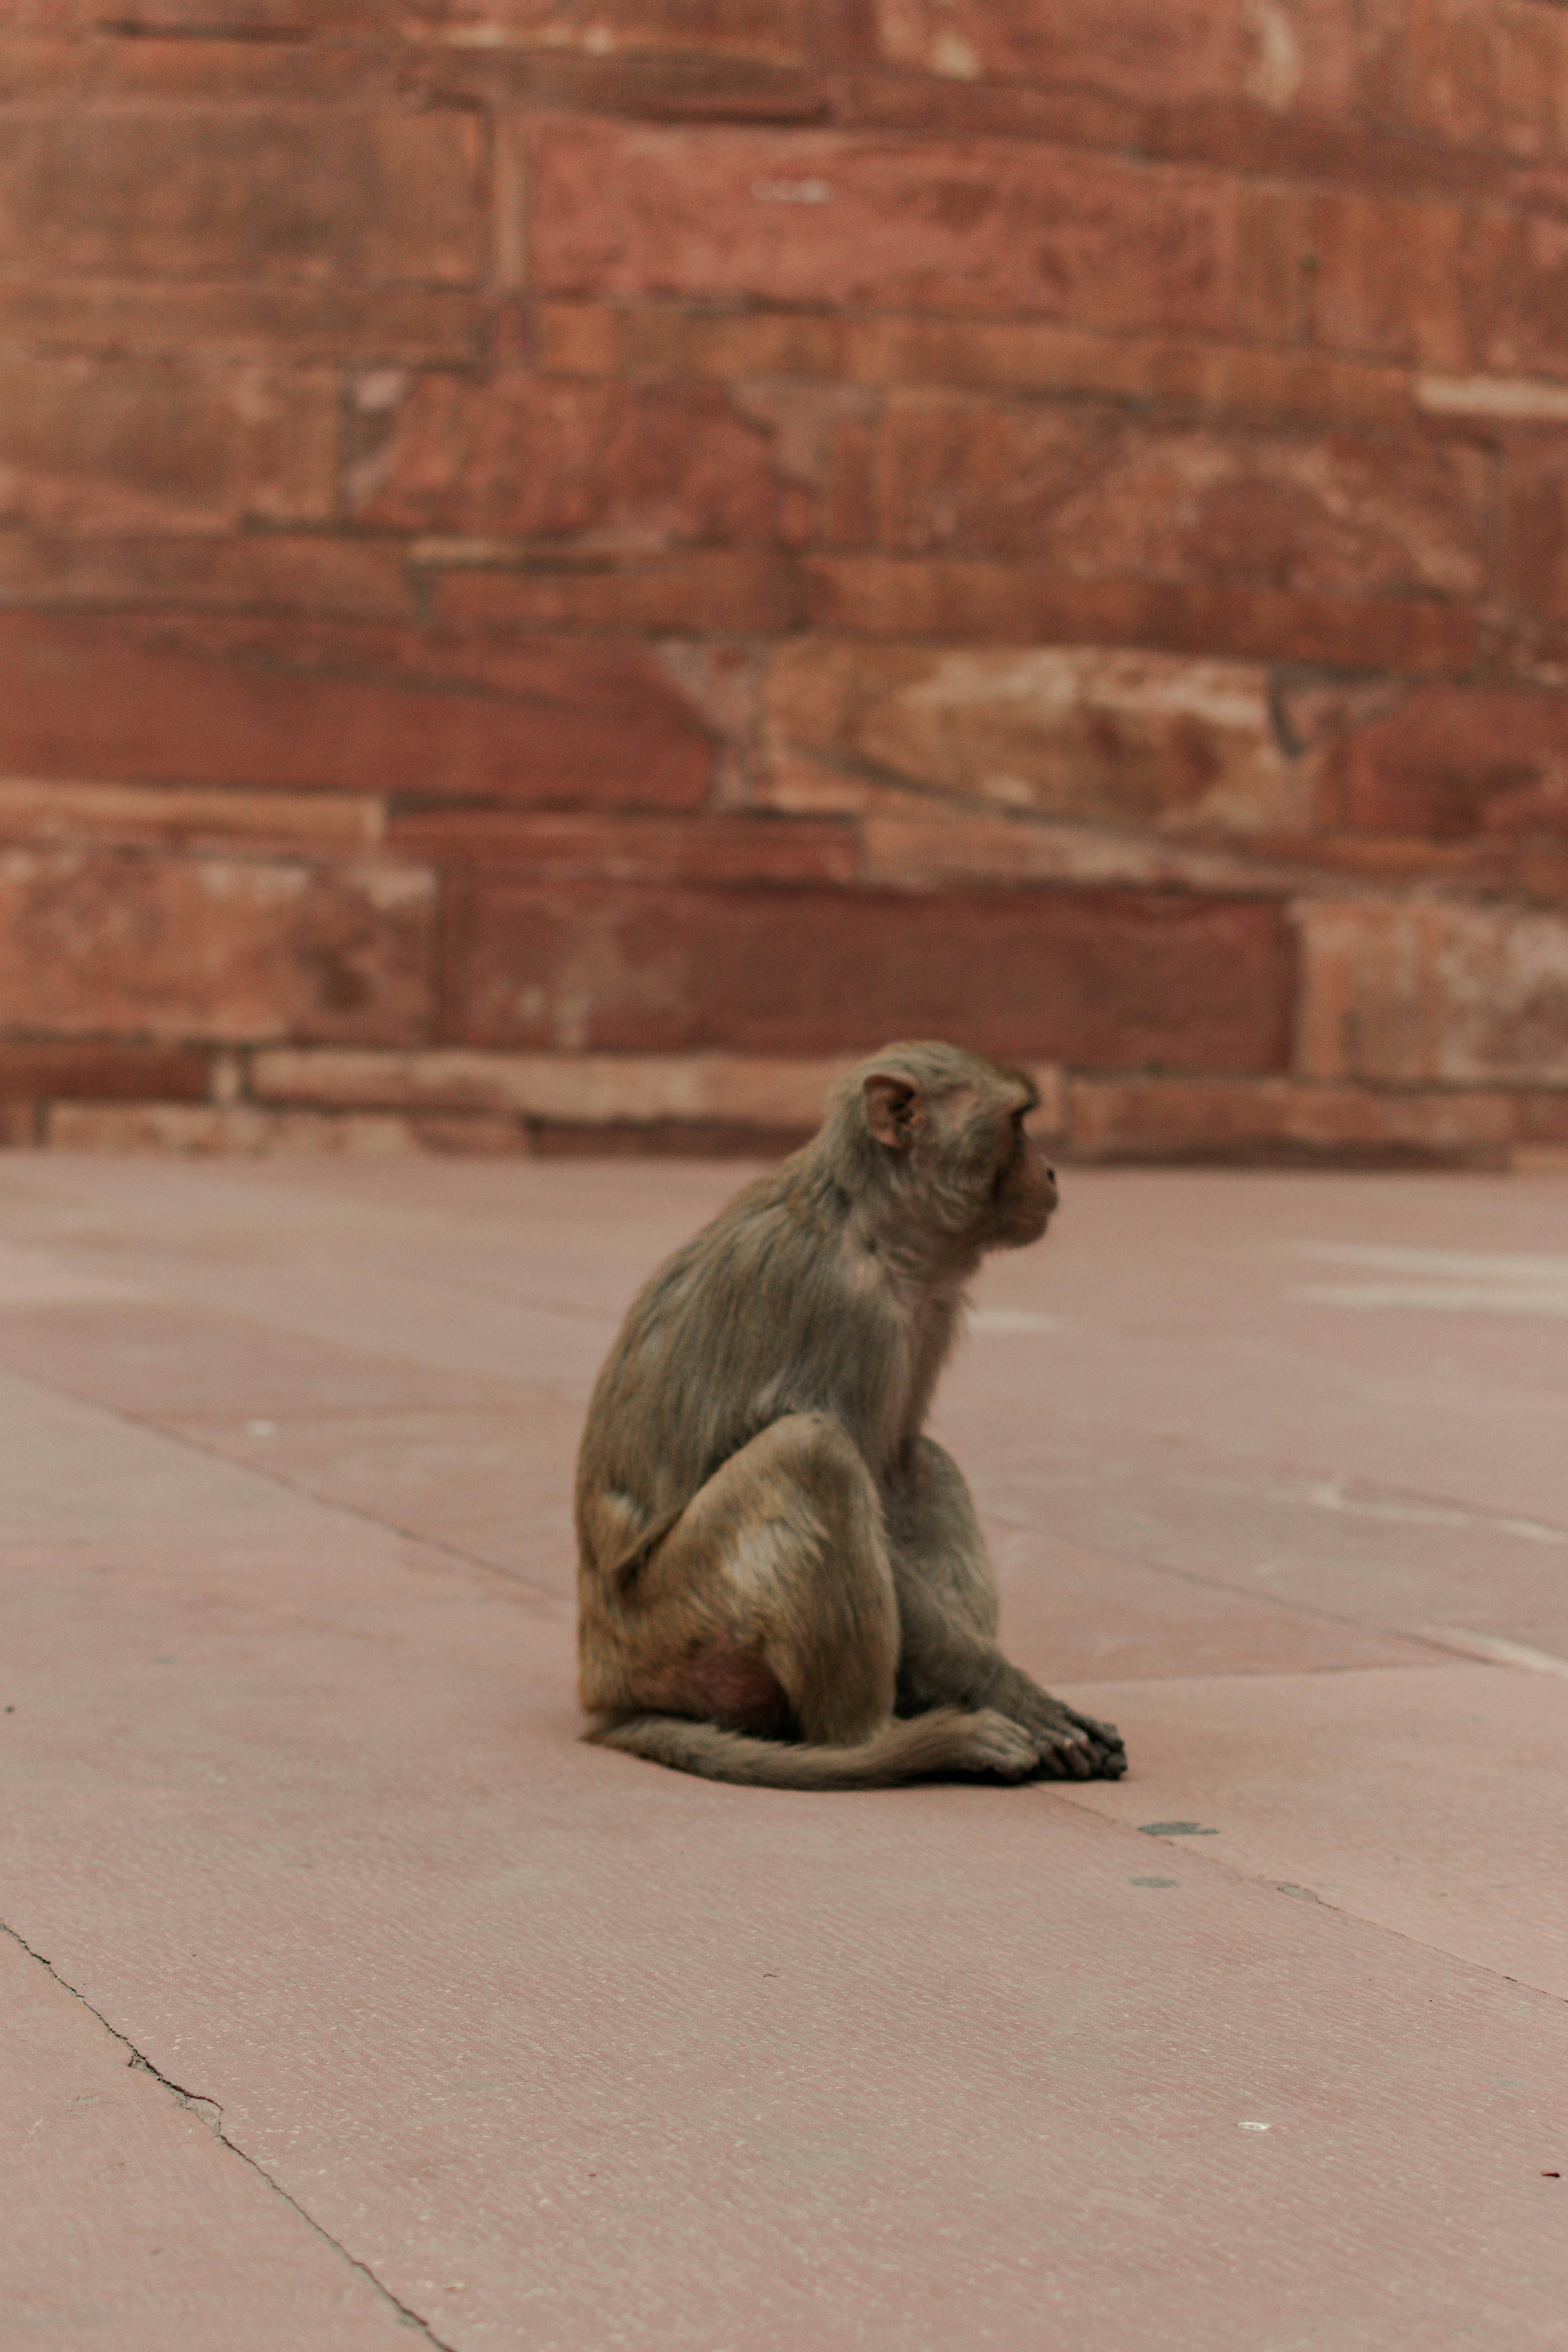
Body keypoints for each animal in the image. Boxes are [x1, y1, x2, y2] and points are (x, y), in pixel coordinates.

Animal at [574, 1040, 1126, 1790]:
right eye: (1016, 1123)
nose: (1048, 1171)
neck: (870, 1226)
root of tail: (606, 1685)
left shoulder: (927, 1310)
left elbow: (894, 1467)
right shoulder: (848, 1310)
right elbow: (846, 1458)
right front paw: (1008, 1692)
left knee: (924, 1461)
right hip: (675, 1629)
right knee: (812, 1454)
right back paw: (887, 1744)